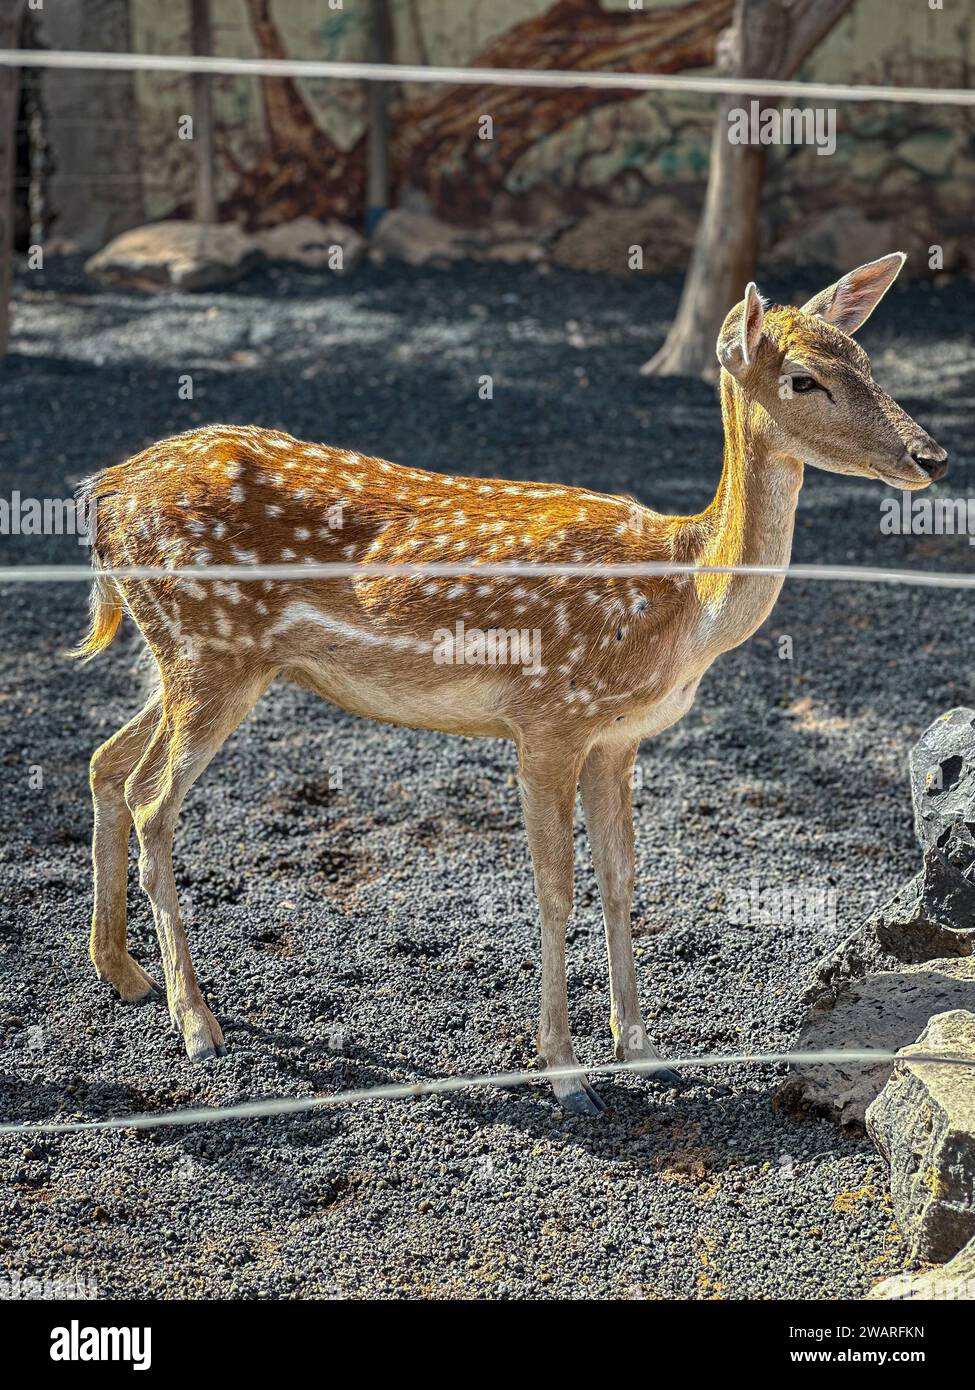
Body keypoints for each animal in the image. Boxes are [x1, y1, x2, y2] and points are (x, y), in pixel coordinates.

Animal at [75, 253, 945, 1115]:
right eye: (803, 379)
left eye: (864, 358)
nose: (930, 456)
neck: (682, 604)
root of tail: (105, 492)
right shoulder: (548, 717)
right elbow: (554, 890)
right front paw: (563, 1072)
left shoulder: (619, 738)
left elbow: (622, 882)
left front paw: (644, 1054)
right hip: (208, 649)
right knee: (152, 797)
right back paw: (197, 1023)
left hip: (190, 657)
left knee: (105, 763)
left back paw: (122, 973)